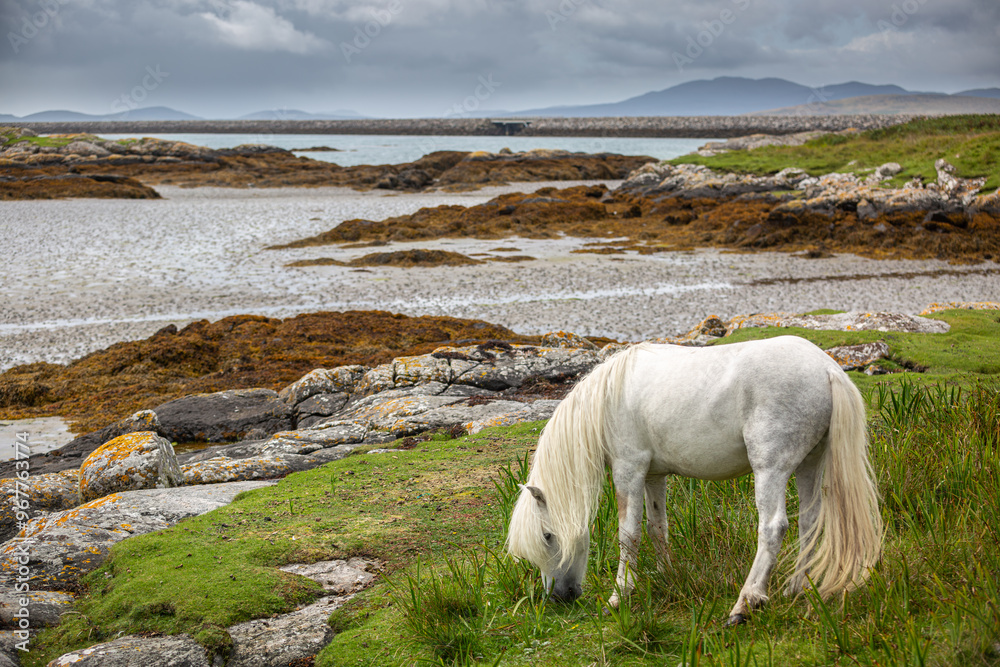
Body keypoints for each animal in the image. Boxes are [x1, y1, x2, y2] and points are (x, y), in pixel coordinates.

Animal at [506, 335, 882, 626]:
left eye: (547, 536)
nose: (560, 597)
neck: (608, 400)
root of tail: (826, 367)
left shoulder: (629, 470)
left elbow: (628, 534)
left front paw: (619, 595)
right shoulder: (653, 475)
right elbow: (657, 527)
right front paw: (666, 575)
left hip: (771, 469)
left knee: (773, 527)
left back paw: (745, 604)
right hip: (808, 465)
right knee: (809, 521)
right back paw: (795, 588)